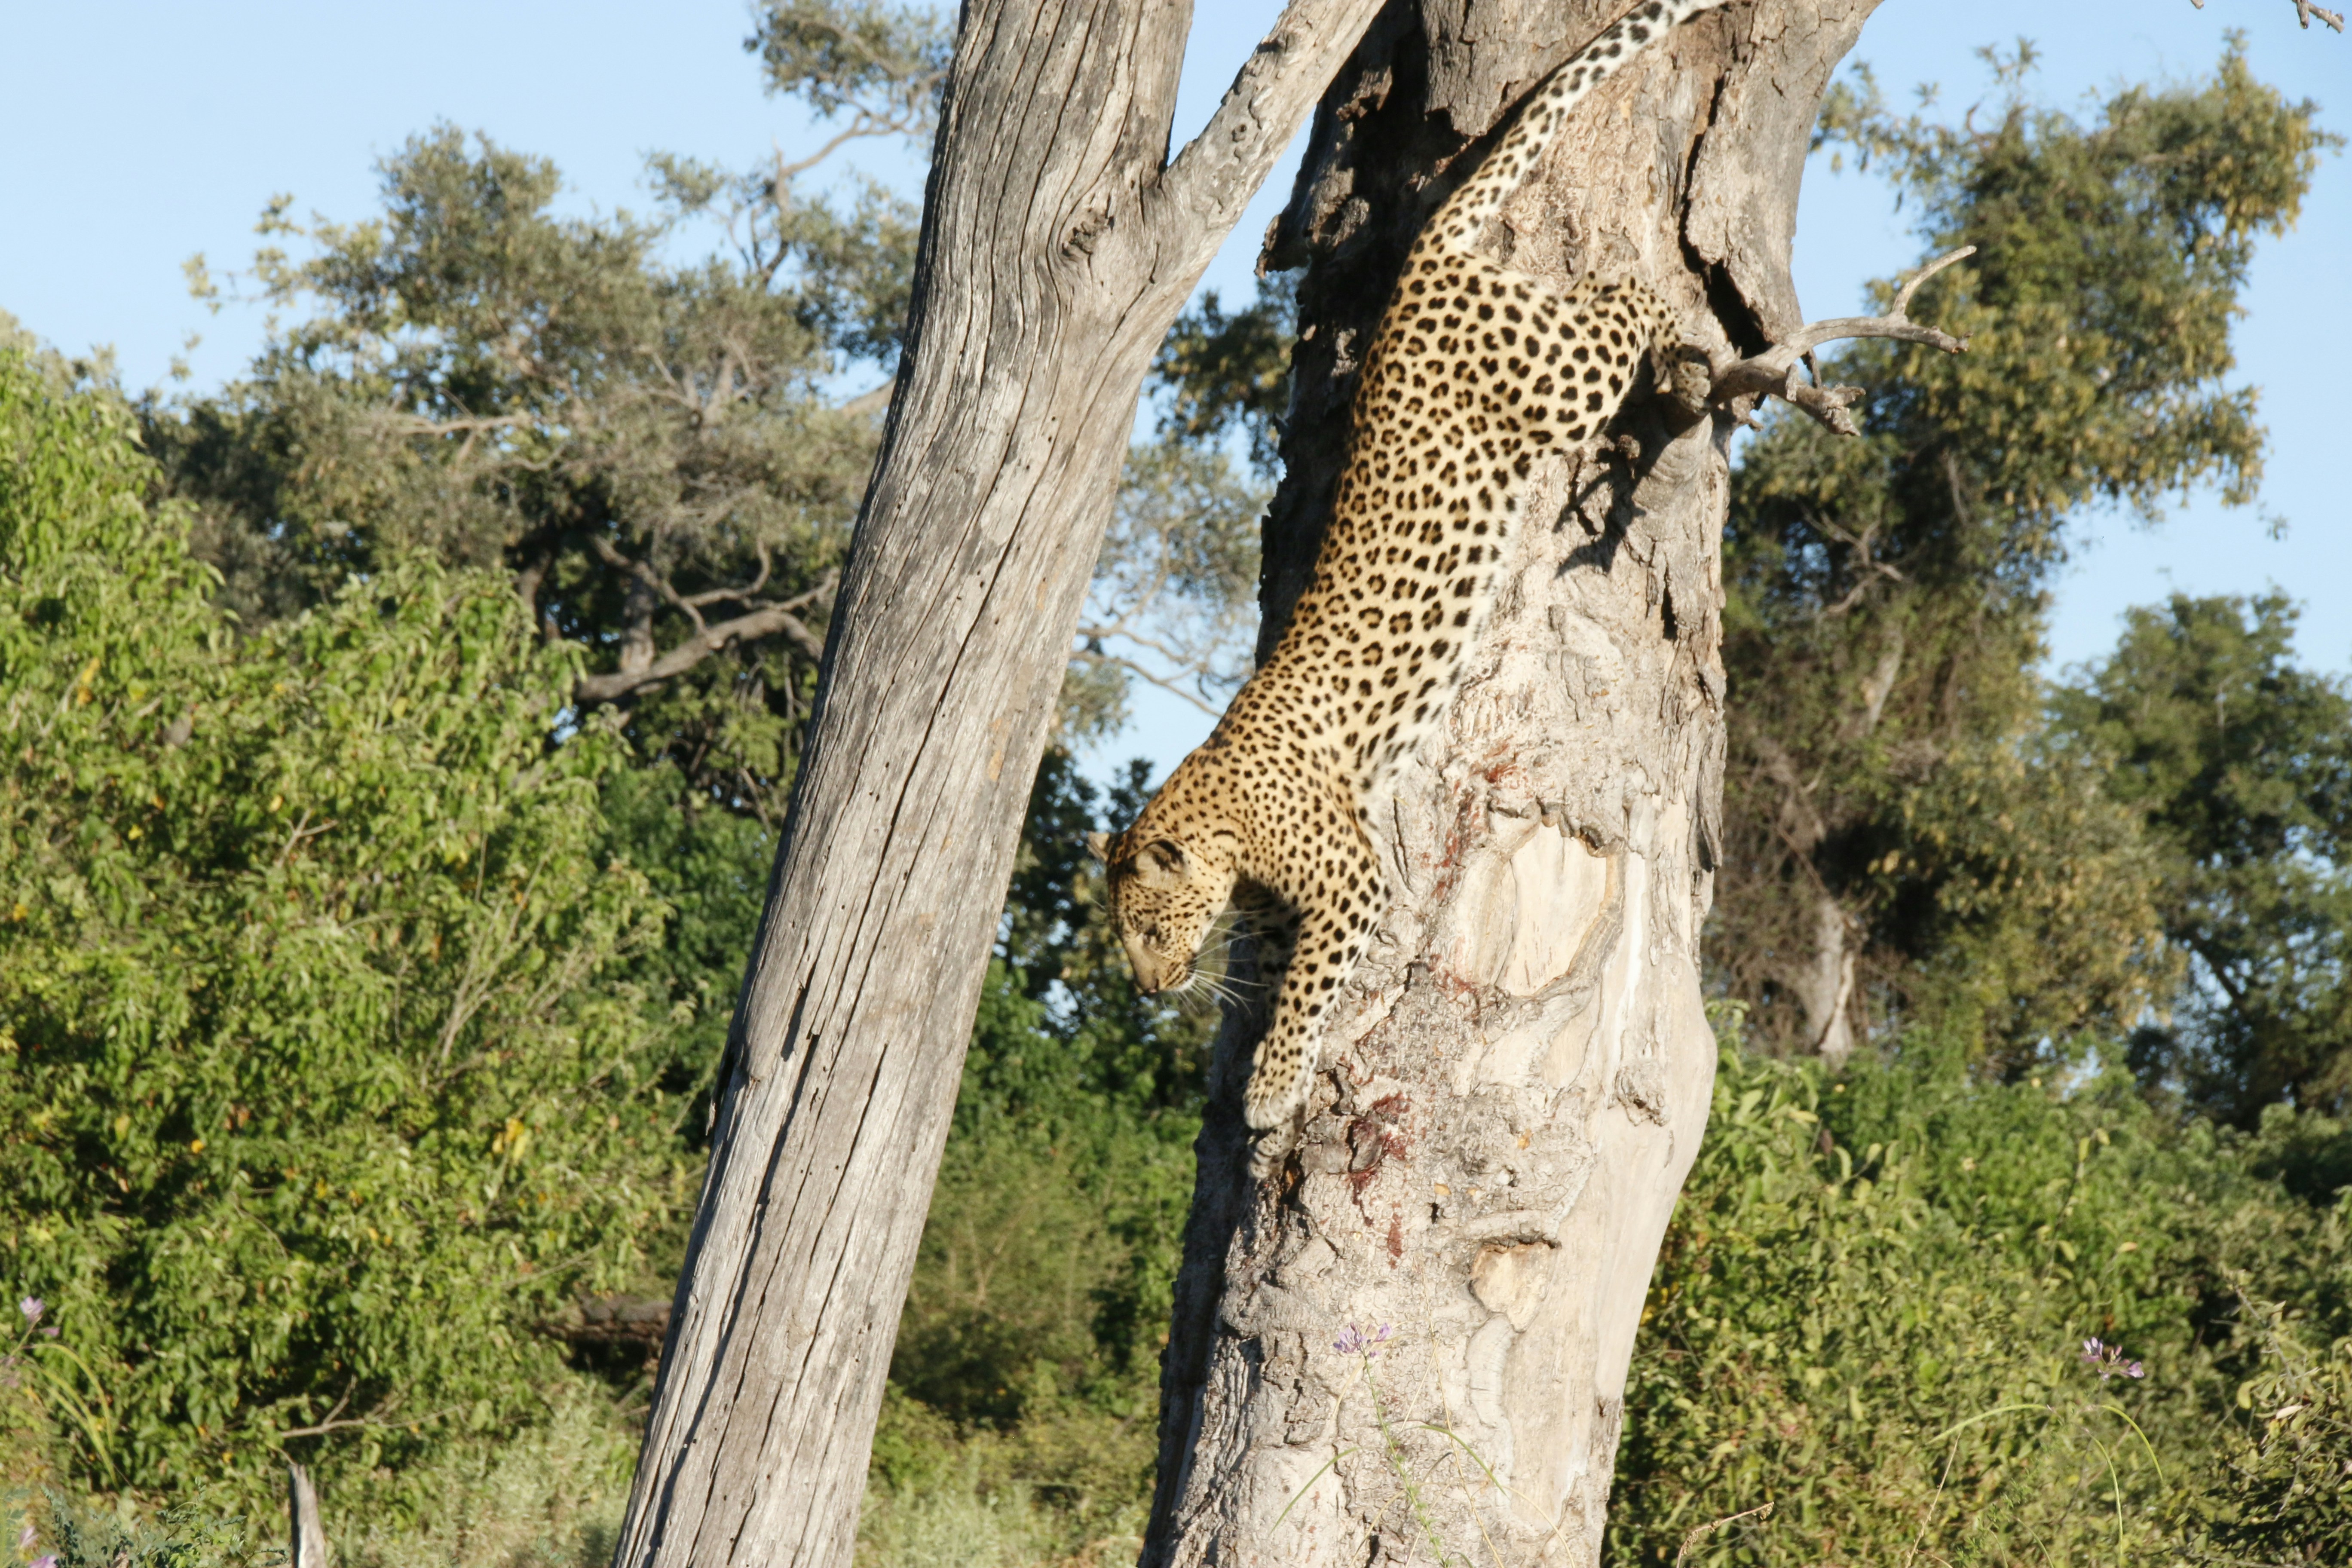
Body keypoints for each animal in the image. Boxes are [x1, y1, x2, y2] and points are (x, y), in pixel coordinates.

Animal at [1088, 0, 1725, 1132]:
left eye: (1150, 932)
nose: (1153, 986)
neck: (1221, 816)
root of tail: (1416, 273)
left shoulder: (1349, 876)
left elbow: (1308, 981)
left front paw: (1271, 1086)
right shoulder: (1284, 900)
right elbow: (1274, 962)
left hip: (1557, 376)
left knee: (1621, 293)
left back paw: (1679, 327)